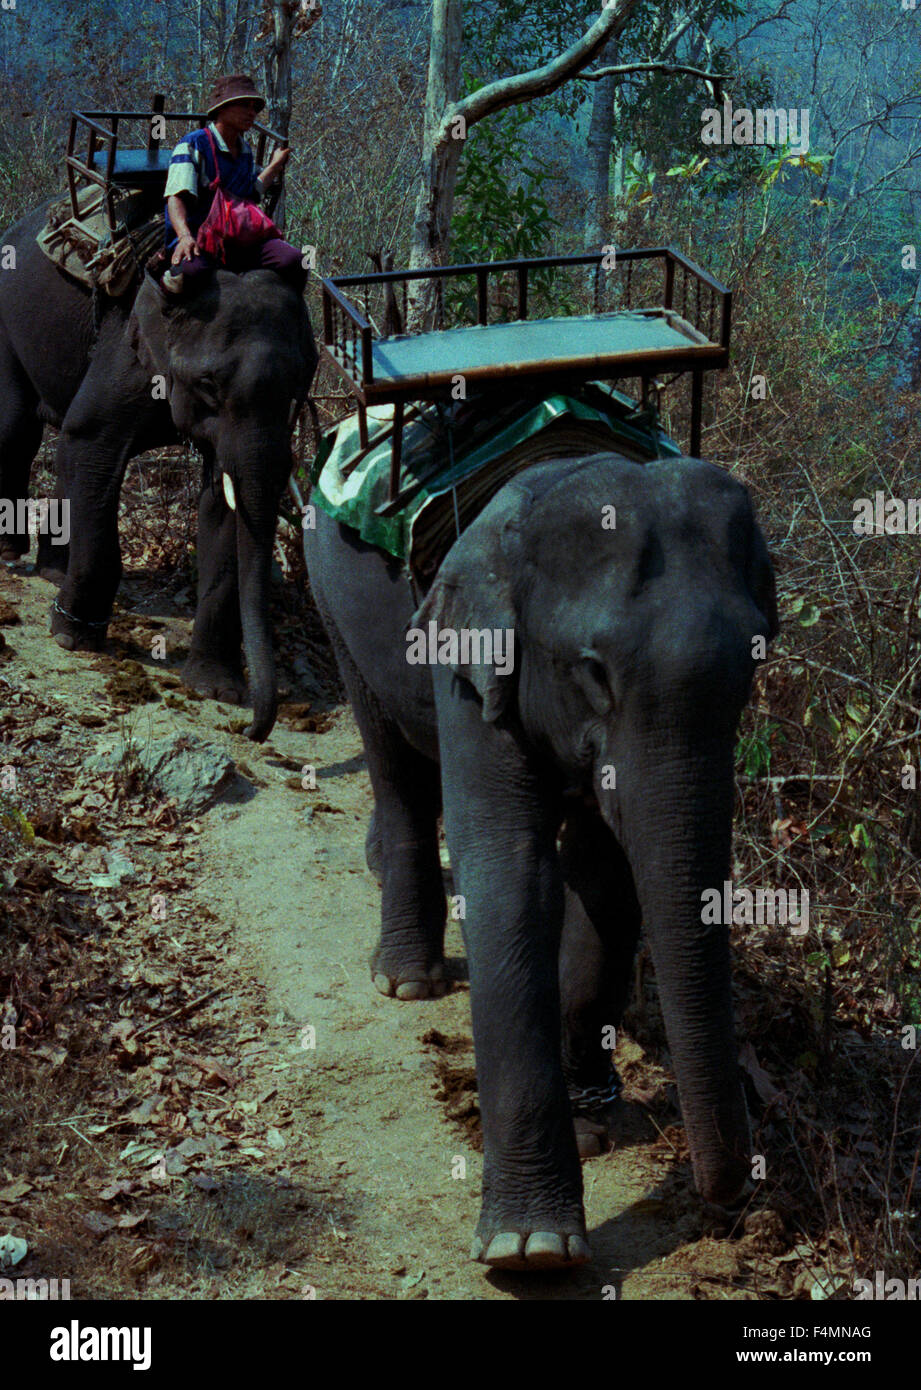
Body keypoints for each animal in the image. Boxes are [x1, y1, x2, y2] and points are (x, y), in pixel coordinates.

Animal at [0, 204, 317, 740]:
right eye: (208, 384)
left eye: (299, 385)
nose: (251, 730)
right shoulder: (126, 349)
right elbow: (91, 442)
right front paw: (73, 639)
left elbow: (222, 500)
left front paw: (215, 689)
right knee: (18, 426)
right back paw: (10, 555)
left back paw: (52, 571)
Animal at [305, 447, 778, 1271]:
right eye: (592, 670)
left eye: (752, 670)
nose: (729, 1202)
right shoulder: (471, 663)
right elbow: (512, 879)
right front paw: (532, 1249)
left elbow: (607, 883)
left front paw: (589, 1123)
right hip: (332, 599)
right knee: (394, 766)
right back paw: (407, 982)